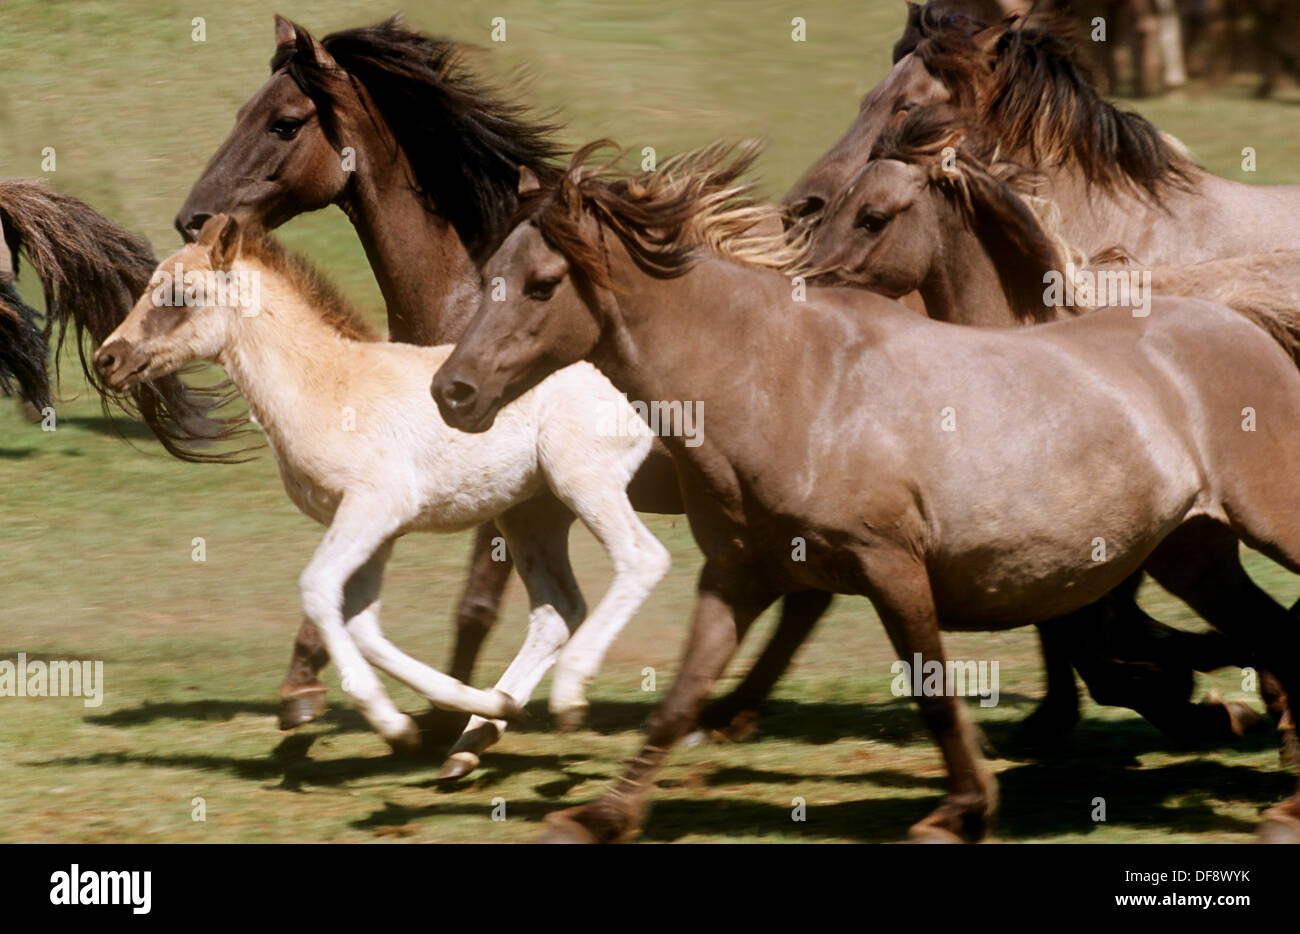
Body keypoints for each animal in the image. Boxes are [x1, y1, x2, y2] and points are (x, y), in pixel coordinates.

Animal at [92, 214, 670, 768]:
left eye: (180, 295)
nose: (106, 360)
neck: (325, 386)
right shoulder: (378, 528)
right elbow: (361, 622)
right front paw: (448, 716)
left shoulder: (375, 507)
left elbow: (318, 589)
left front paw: (390, 724)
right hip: (531, 514)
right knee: (558, 611)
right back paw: (478, 735)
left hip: (584, 480)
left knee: (642, 558)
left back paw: (569, 696)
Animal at [430, 140, 1300, 844]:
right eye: (489, 275)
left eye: (542, 285)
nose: (452, 391)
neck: (784, 380)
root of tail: (1247, 325)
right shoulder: (738, 574)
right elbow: (680, 697)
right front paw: (601, 816)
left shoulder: (892, 566)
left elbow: (934, 690)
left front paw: (961, 811)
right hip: (1193, 554)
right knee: (1273, 632)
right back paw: (1282, 790)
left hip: (1267, 526)